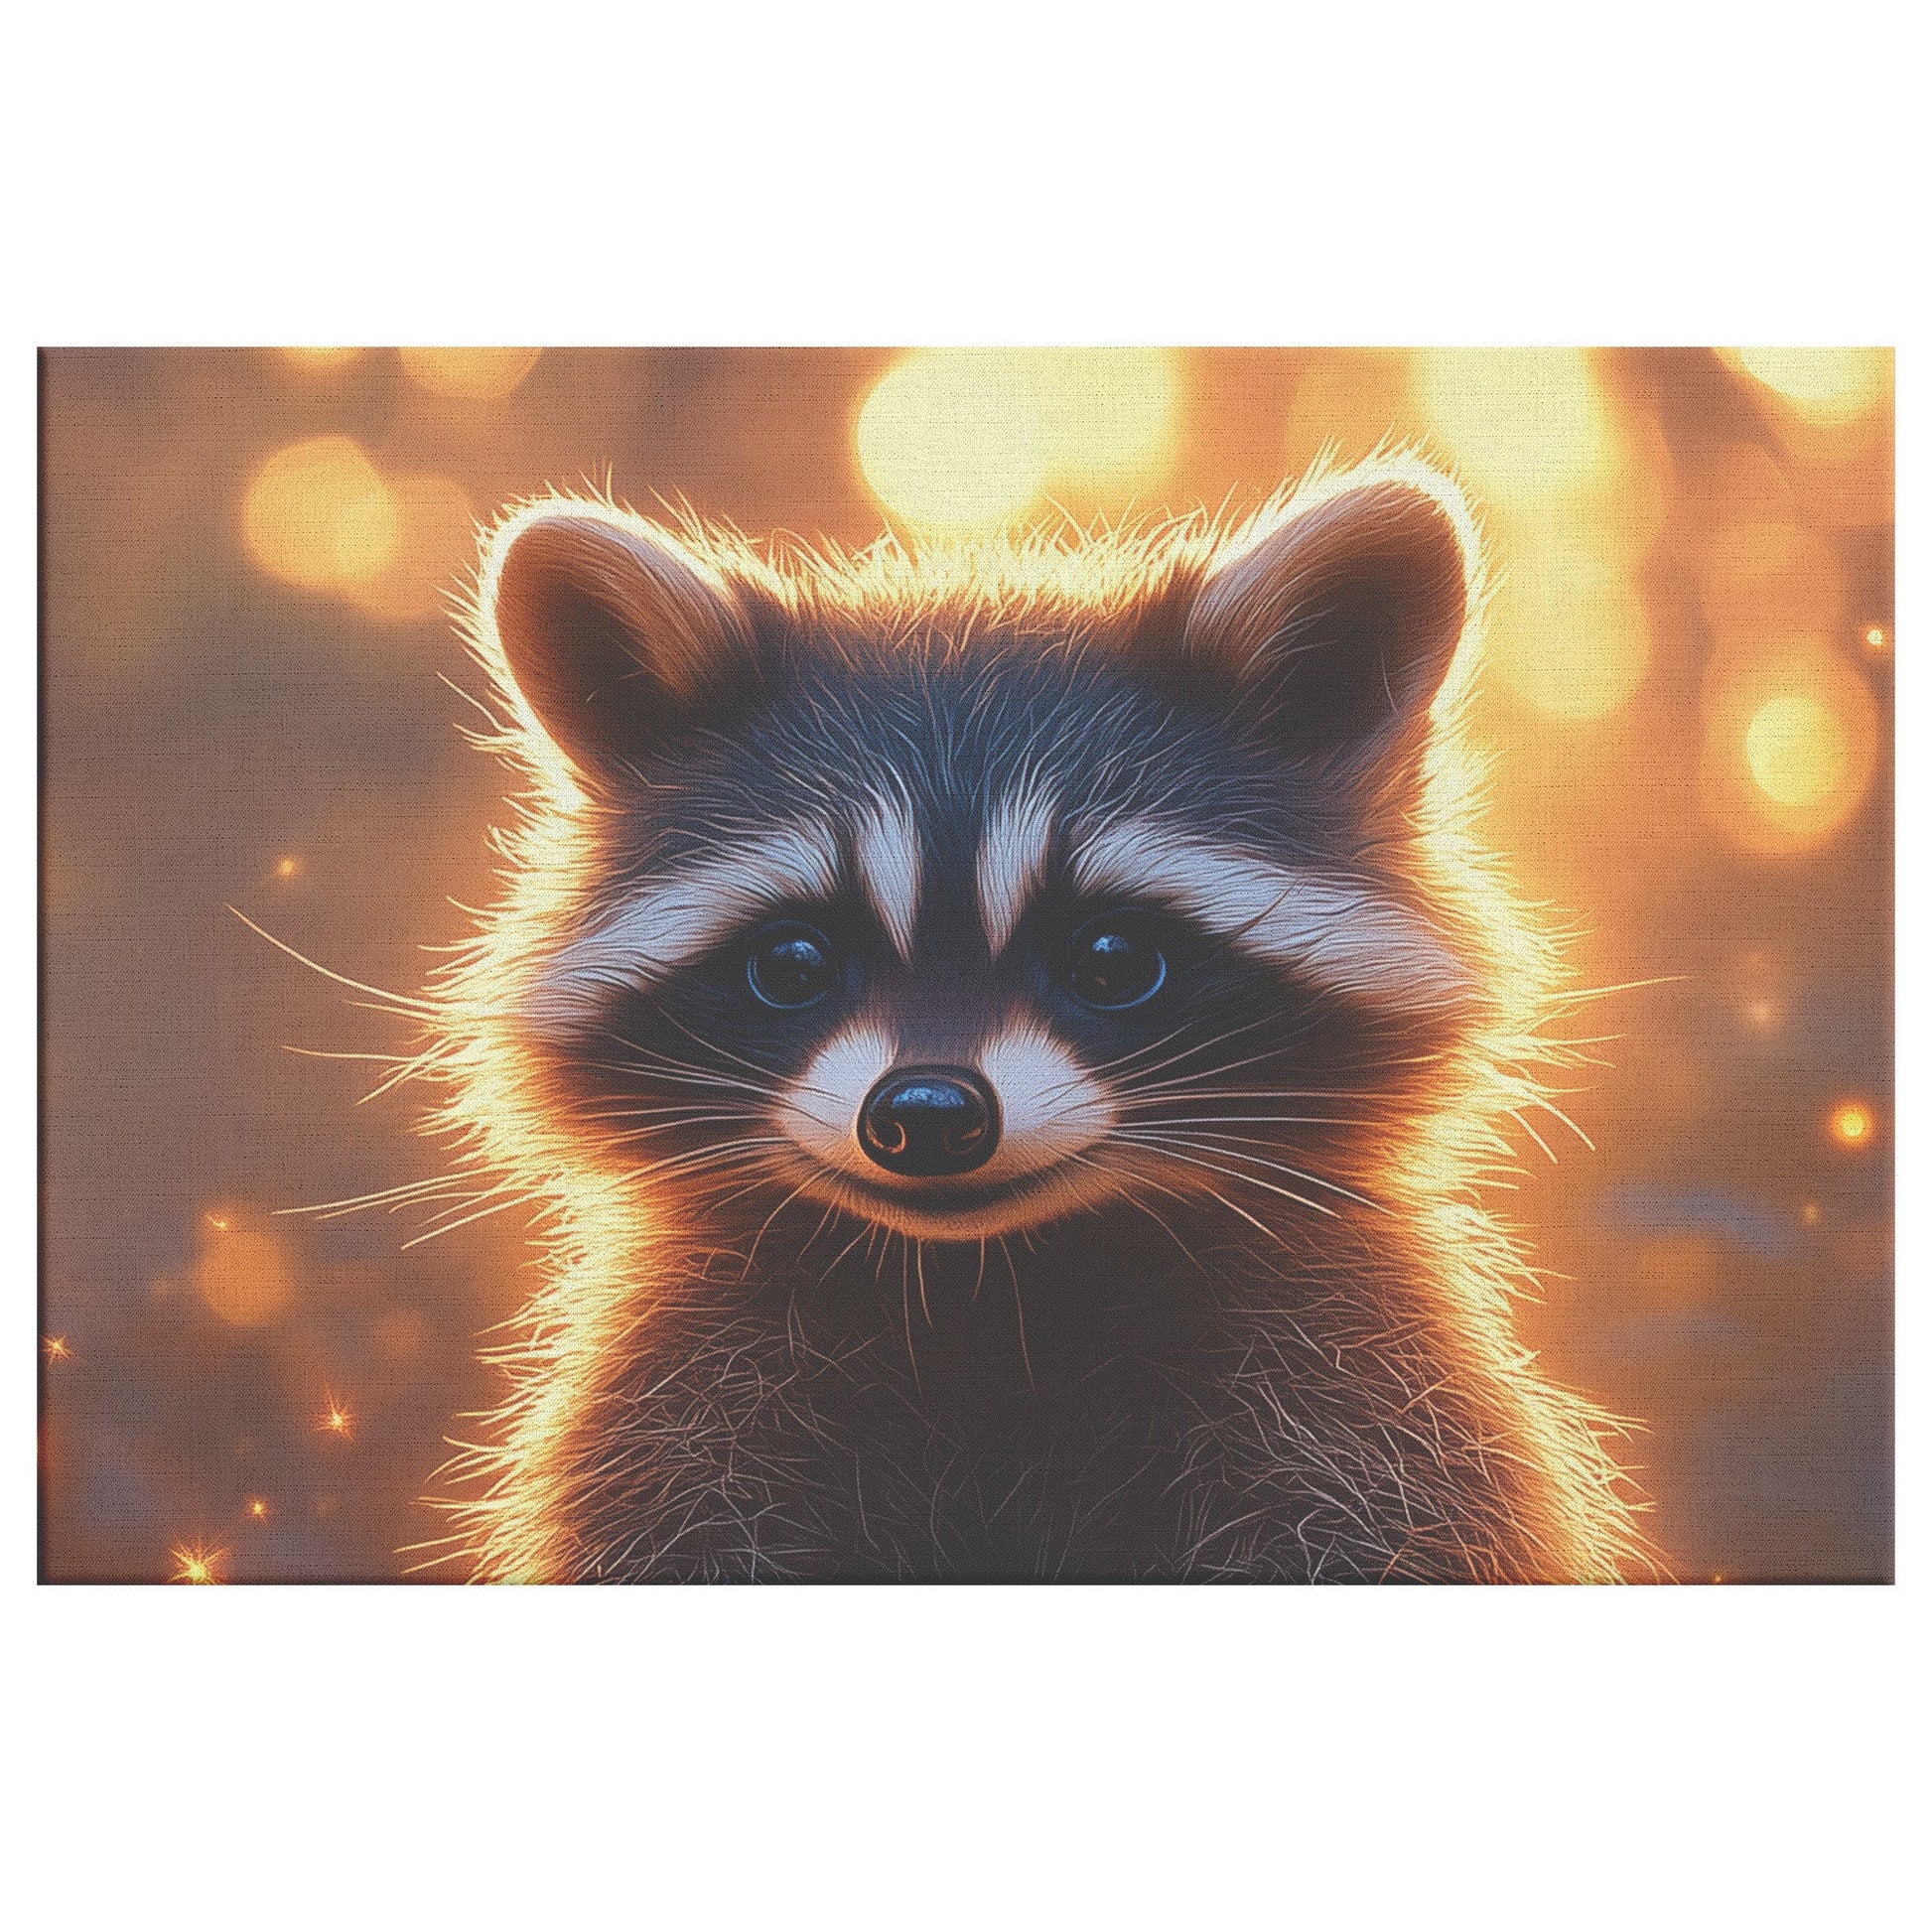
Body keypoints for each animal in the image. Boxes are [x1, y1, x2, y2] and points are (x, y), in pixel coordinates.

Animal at [407, 452, 1652, 1582]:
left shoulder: (1371, 1395)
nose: (924, 1113)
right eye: (794, 961)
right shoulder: (674, 1413)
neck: (986, 1283)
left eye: (1110, 959)